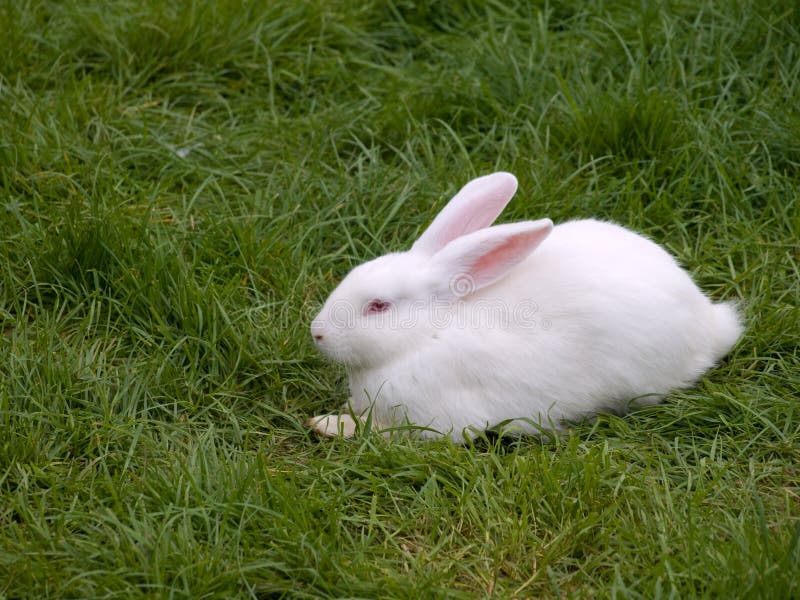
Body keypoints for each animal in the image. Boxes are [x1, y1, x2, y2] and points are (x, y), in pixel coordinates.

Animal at [307, 172, 743, 441]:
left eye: (378, 306)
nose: (317, 333)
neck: (426, 335)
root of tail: (713, 321)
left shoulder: (440, 421)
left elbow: (385, 433)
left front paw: (330, 424)